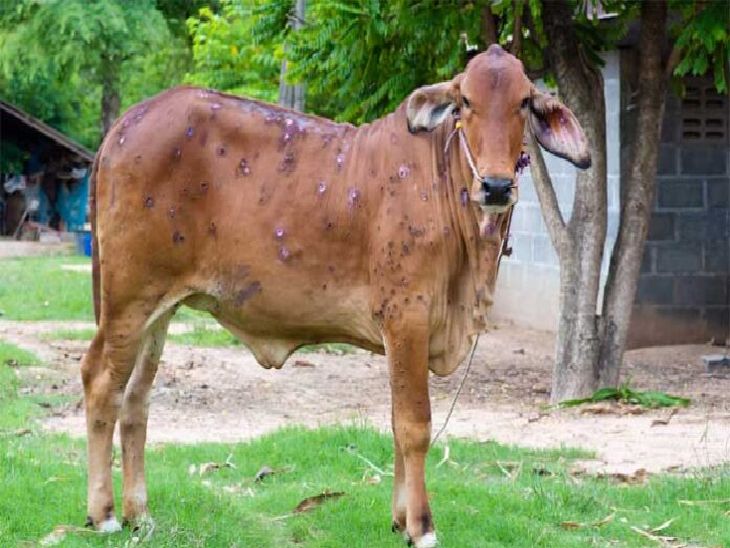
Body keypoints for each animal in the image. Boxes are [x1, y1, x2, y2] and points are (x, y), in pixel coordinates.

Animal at [81, 44, 589, 547]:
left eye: (523, 102)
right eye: (465, 101)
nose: (497, 186)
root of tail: (124, 126)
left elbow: (395, 420)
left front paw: (399, 520)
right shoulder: (407, 317)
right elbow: (414, 425)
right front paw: (422, 526)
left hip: (159, 311)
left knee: (137, 399)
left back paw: (139, 514)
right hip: (128, 300)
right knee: (101, 382)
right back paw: (103, 514)